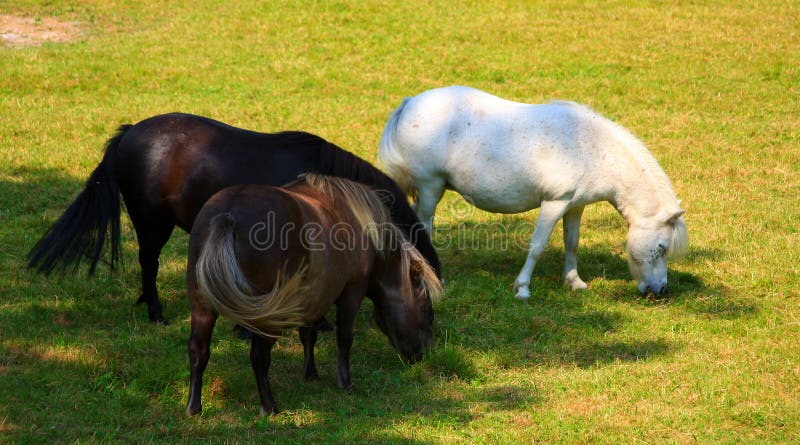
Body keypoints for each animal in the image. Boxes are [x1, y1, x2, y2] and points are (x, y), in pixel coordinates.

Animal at [27, 113, 440, 324]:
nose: (430, 328)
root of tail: (126, 136)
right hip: (152, 222)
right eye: (419, 283)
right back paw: (156, 312)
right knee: (149, 261)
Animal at [185, 174, 441, 416]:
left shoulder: (313, 297)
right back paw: (269, 406)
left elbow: (308, 334)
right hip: (267, 318)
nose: (426, 355)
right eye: (427, 311)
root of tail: (227, 215)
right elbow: (344, 337)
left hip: (202, 308)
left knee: (199, 351)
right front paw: (346, 383)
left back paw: (193, 407)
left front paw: (310, 374)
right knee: (259, 356)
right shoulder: (352, 291)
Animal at [379, 86, 688, 297]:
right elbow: (537, 246)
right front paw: (523, 288)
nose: (660, 289)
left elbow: (571, 242)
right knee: (423, 225)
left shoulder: (574, 206)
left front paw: (574, 282)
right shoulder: (554, 204)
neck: (590, 148)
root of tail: (410, 103)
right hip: (431, 188)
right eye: (662, 247)